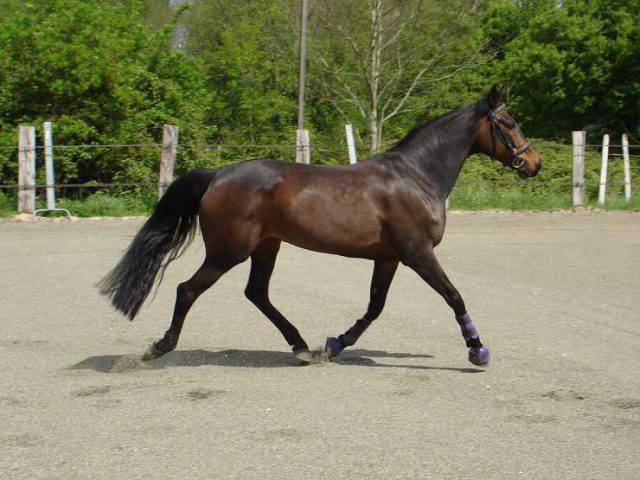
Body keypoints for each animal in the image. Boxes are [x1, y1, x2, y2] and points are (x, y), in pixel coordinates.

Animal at [100, 86, 541, 367]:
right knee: (187, 290)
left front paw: (335, 344)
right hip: (229, 251)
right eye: (509, 122)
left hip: (266, 246)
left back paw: (302, 347)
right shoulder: (418, 253)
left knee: (256, 293)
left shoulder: (389, 258)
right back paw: (160, 348)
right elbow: (454, 297)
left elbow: (374, 307)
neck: (416, 177)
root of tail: (218, 174)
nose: (534, 163)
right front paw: (478, 350)